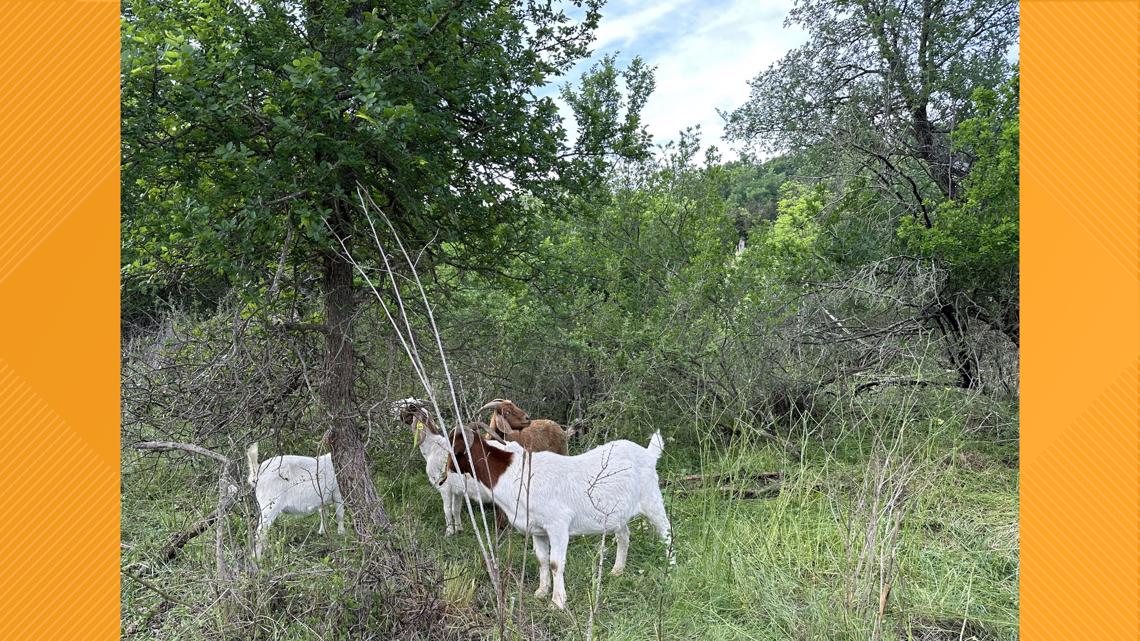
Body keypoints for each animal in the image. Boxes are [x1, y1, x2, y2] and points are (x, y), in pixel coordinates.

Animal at [392, 399, 495, 535]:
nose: (393, 407)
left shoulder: (444, 487)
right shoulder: (458, 491)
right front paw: (459, 529)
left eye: (409, 406)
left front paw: (449, 532)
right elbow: (456, 509)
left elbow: (447, 510)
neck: (433, 447)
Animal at [450, 428, 675, 610]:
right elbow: (542, 559)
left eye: (453, 447)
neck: (516, 476)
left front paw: (557, 602)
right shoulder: (537, 530)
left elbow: (555, 563)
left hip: (651, 498)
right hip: (616, 514)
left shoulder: (557, 525)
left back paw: (670, 567)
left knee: (666, 531)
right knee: (624, 536)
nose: (446, 473)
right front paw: (541, 592)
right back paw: (617, 571)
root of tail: (648, 453)